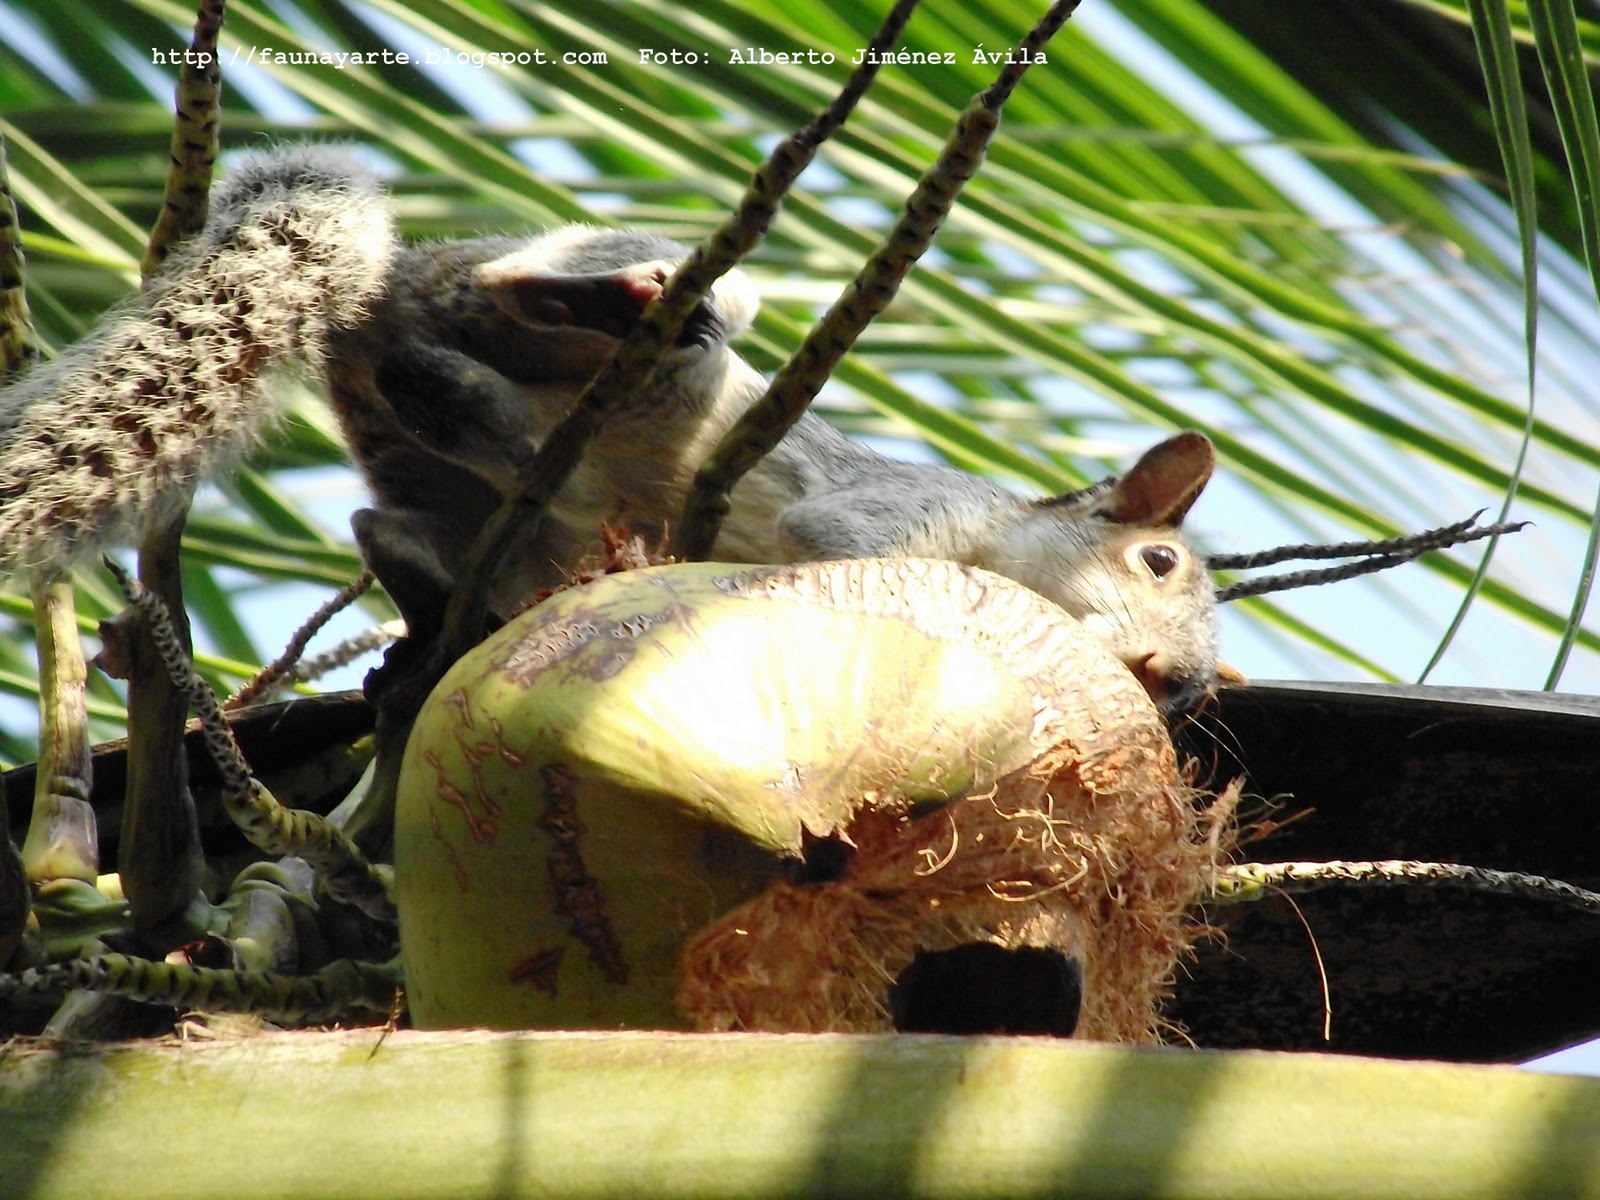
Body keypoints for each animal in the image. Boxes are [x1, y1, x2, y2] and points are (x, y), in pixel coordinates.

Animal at [0, 146, 1219, 709]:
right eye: (1157, 561)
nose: (1171, 677)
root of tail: (381, 295)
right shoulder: (902, 512)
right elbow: (837, 547)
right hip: (631, 333)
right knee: (534, 293)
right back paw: (623, 300)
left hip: (465, 500)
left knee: (399, 513)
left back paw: (428, 606)